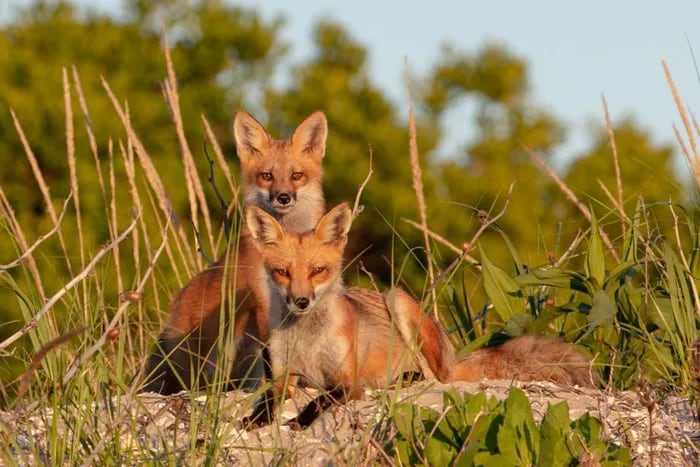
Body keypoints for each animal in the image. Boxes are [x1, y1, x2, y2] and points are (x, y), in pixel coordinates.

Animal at [243, 202, 595, 429]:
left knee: (434, 376)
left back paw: (404, 377)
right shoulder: (283, 376)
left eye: (318, 270)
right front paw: (255, 420)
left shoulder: (348, 381)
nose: (301, 302)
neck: (307, 339)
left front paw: (300, 420)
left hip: (398, 299)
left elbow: (319, 401)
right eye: (283, 272)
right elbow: (266, 401)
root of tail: (454, 357)